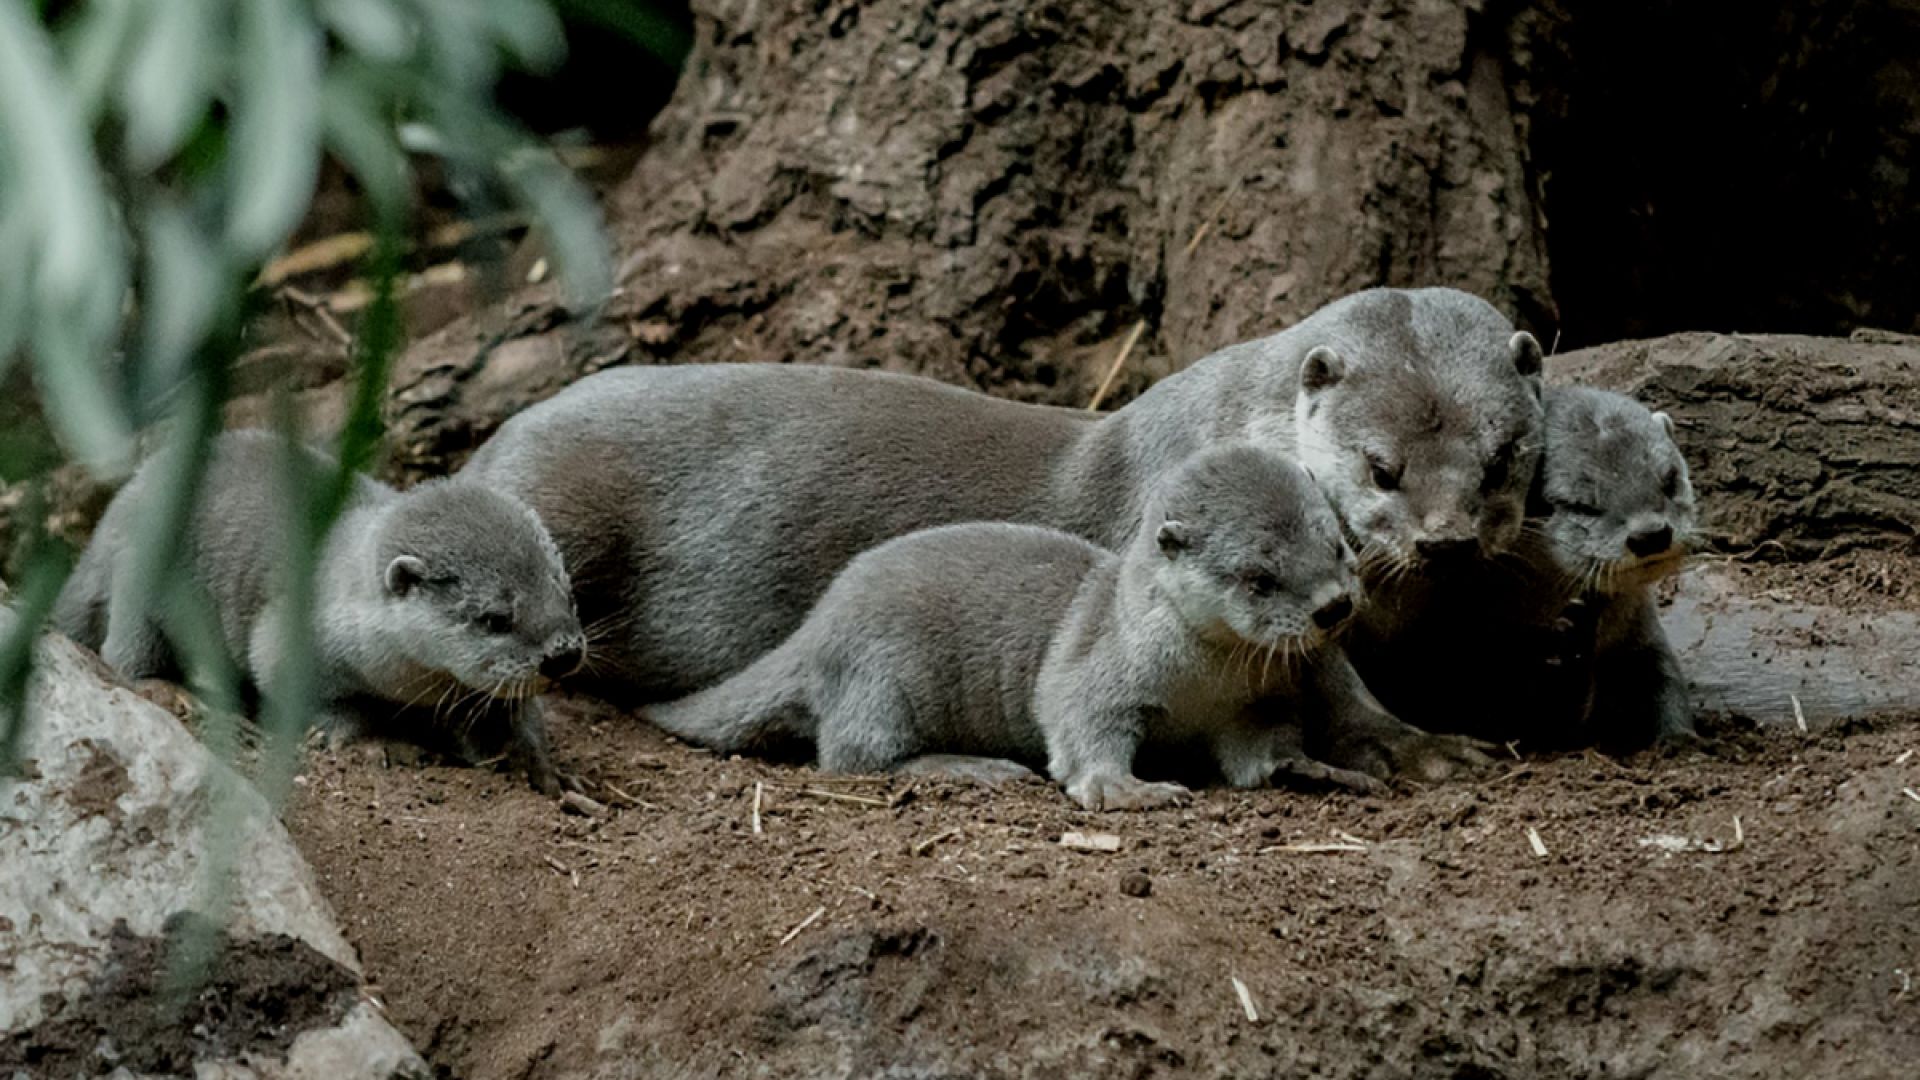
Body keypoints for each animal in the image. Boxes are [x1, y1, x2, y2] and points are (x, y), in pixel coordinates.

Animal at [52, 430, 587, 792]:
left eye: (567, 593)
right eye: (495, 618)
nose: (564, 655)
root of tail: (114, 514)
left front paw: (542, 766)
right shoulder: (286, 645)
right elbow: (324, 705)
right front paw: (379, 743)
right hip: (141, 580)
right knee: (124, 657)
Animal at [645, 445, 1381, 808]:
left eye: (1337, 547)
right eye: (1260, 577)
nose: (1334, 607)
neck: (1202, 680)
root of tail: (818, 624)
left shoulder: (1255, 700)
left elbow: (1262, 749)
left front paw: (1314, 769)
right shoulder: (1097, 670)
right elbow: (1077, 719)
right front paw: (1127, 789)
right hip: (879, 674)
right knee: (853, 755)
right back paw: (974, 767)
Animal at [1346, 386, 1698, 749]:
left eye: (1670, 480)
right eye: (1580, 505)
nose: (1650, 535)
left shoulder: (1641, 636)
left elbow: (1664, 680)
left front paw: (1678, 739)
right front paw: (1569, 648)